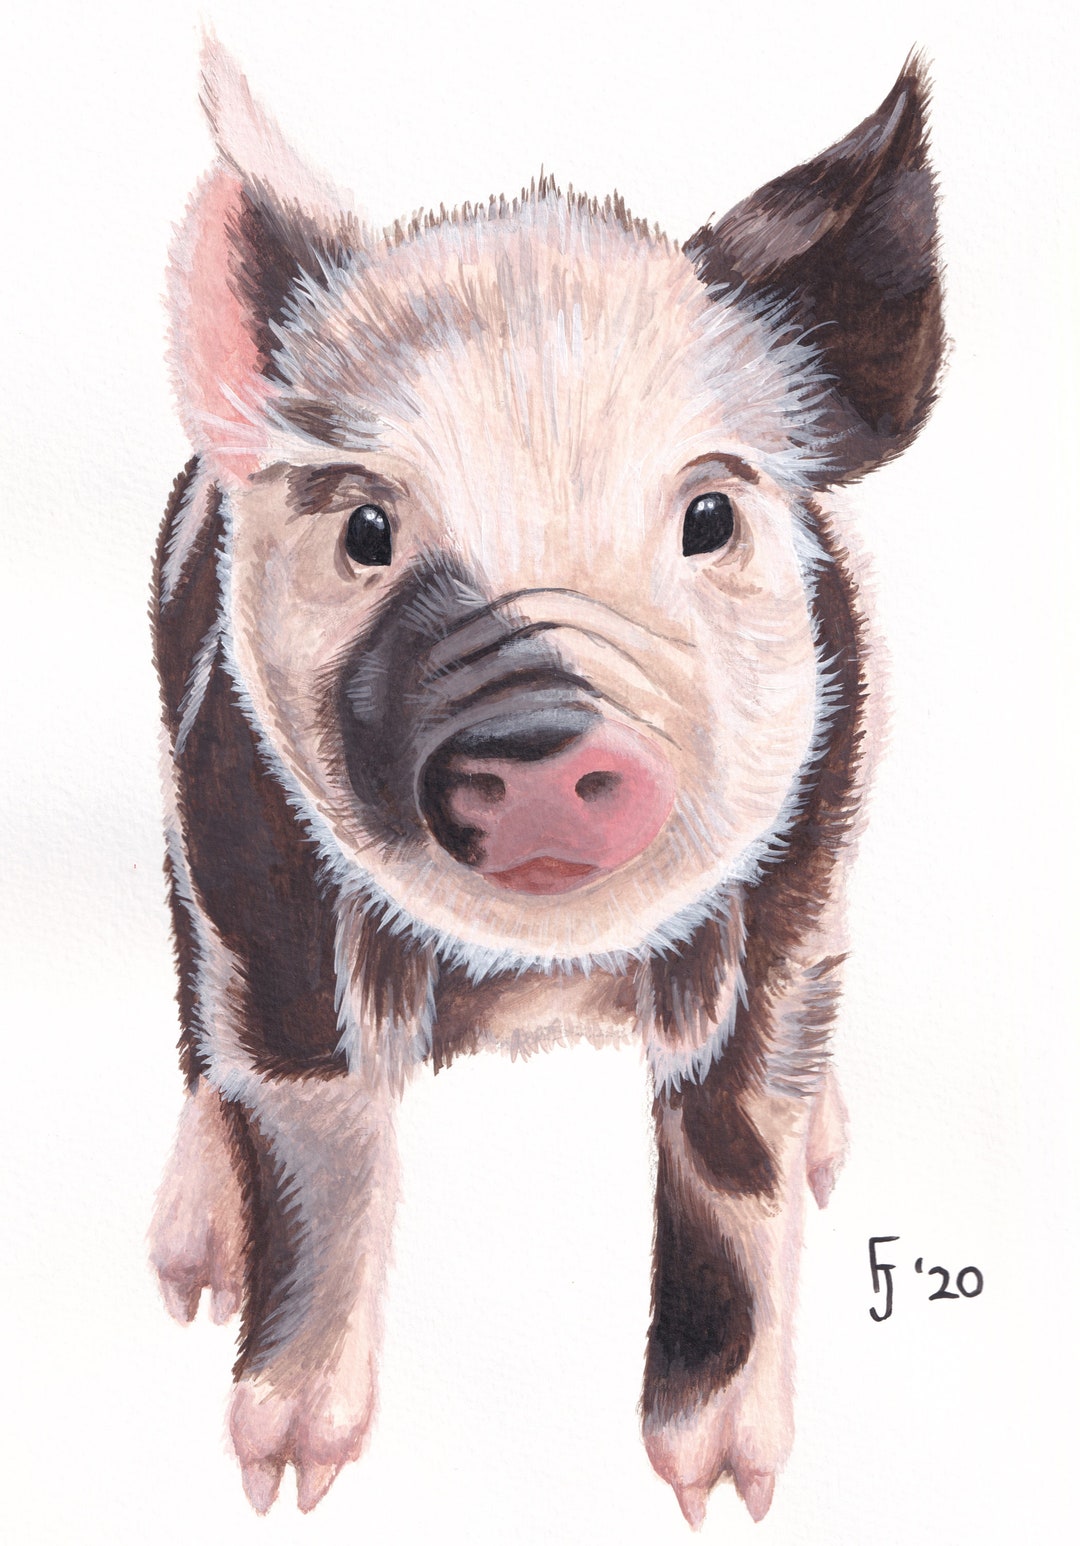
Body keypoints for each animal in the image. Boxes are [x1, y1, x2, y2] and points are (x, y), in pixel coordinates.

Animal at [149, 38, 943, 1525]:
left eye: (709, 514)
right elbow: (315, 1127)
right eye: (367, 526)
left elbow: (736, 1145)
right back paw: (186, 1268)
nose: (539, 739)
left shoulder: (799, 865)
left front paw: (723, 1491)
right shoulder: (248, 844)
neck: (538, 978)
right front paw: (283, 1476)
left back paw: (833, 1149)